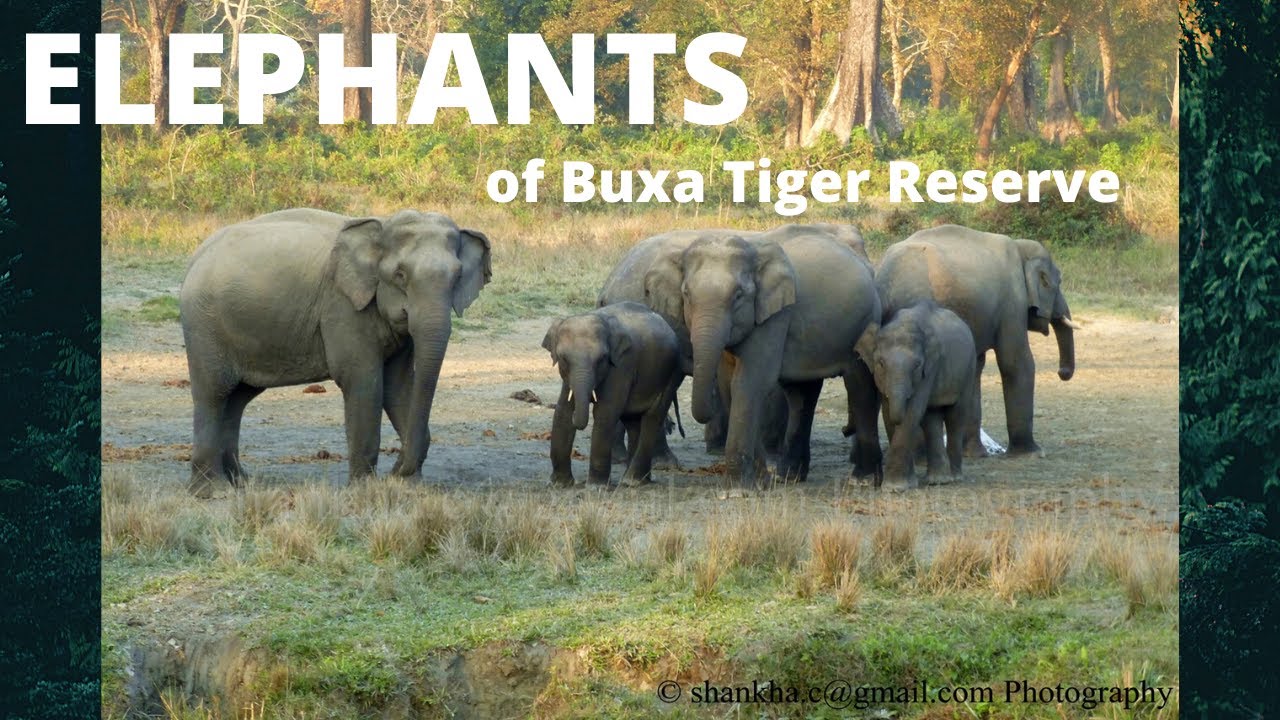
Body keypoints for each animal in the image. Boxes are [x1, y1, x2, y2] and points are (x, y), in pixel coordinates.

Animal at [179, 208, 490, 496]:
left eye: (458, 276)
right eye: (400, 275)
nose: (397, 470)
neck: (380, 226)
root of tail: (195, 257)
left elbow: (399, 387)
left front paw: (411, 489)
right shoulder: (342, 306)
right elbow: (364, 382)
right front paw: (364, 490)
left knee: (238, 398)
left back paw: (241, 483)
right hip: (205, 325)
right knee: (214, 393)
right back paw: (213, 491)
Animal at [542, 302, 682, 488]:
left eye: (601, 359)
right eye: (563, 358)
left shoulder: (622, 365)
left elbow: (606, 412)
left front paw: (596, 488)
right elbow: (562, 412)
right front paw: (559, 485)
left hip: (671, 374)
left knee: (652, 419)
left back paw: (632, 481)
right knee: (633, 422)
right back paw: (634, 480)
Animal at [612, 229, 882, 491]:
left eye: (738, 295)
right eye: (686, 294)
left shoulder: (776, 313)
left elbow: (751, 380)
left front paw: (739, 489)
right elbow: (729, 383)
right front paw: (759, 482)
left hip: (863, 322)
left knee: (858, 387)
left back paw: (861, 480)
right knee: (802, 395)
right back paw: (788, 477)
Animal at [860, 301, 977, 490]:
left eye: (916, 365)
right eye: (881, 363)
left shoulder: (930, 367)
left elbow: (913, 411)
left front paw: (895, 488)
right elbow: (888, 413)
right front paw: (907, 484)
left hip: (969, 368)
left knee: (956, 416)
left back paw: (955, 477)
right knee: (931, 418)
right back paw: (938, 480)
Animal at [876, 224, 1076, 457]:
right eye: (1057, 283)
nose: (1062, 372)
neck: (1020, 247)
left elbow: (975, 367)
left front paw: (975, 454)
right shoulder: (1012, 300)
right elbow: (1015, 361)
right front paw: (1032, 453)